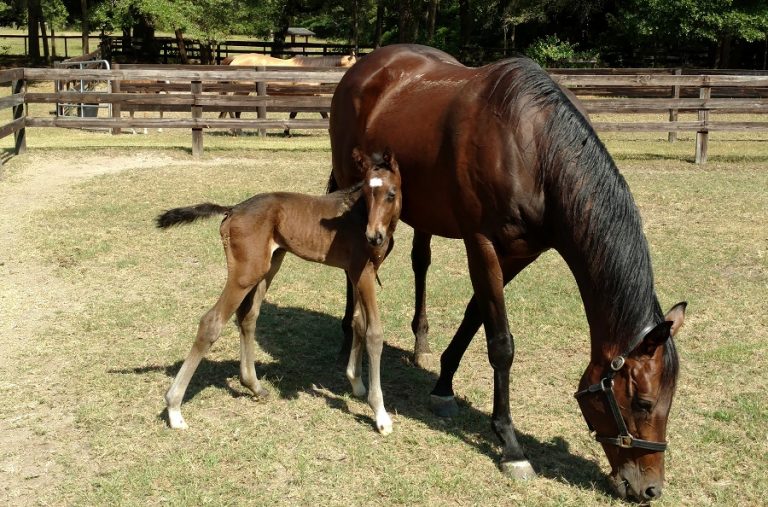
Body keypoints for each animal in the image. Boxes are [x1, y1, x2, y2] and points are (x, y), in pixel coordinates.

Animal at [157, 147, 402, 436]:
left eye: (391, 194)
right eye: (365, 193)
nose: (373, 236)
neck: (359, 215)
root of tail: (232, 209)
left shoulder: (355, 273)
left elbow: (358, 323)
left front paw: (356, 383)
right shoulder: (363, 274)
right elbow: (374, 332)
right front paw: (380, 414)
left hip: (269, 266)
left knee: (248, 317)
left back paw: (254, 385)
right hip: (245, 273)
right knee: (212, 322)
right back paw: (174, 409)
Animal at [218, 53, 356, 136]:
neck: (310, 71)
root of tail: (236, 58)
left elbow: (293, 114)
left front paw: (287, 131)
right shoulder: (310, 96)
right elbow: (323, 113)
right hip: (242, 90)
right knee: (233, 108)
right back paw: (237, 130)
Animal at [328, 44, 686, 502]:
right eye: (642, 402)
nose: (650, 489)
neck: (534, 151)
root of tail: (366, 64)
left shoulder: (521, 253)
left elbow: (475, 315)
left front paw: (443, 385)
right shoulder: (481, 243)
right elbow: (501, 342)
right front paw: (511, 445)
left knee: (420, 260)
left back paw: (420, 340)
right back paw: (345, 334)